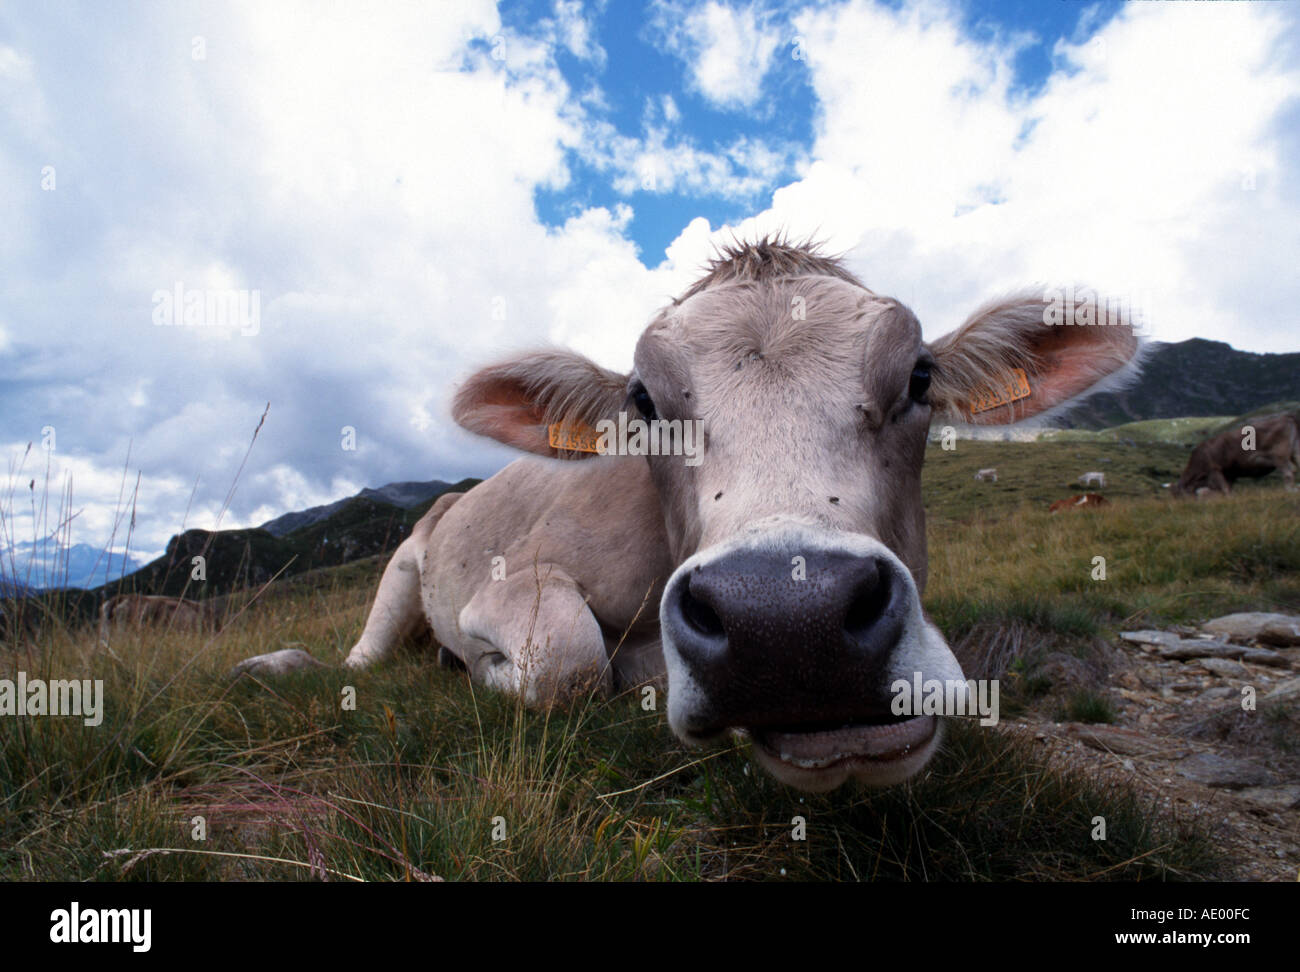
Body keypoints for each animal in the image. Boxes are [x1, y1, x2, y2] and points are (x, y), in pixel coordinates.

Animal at [341, 238, 1142, 792]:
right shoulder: (507, 584)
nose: (789, 625)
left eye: (920, 376)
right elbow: (570, 664)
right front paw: (487, 668)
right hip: (406, 561)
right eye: (643, 403)